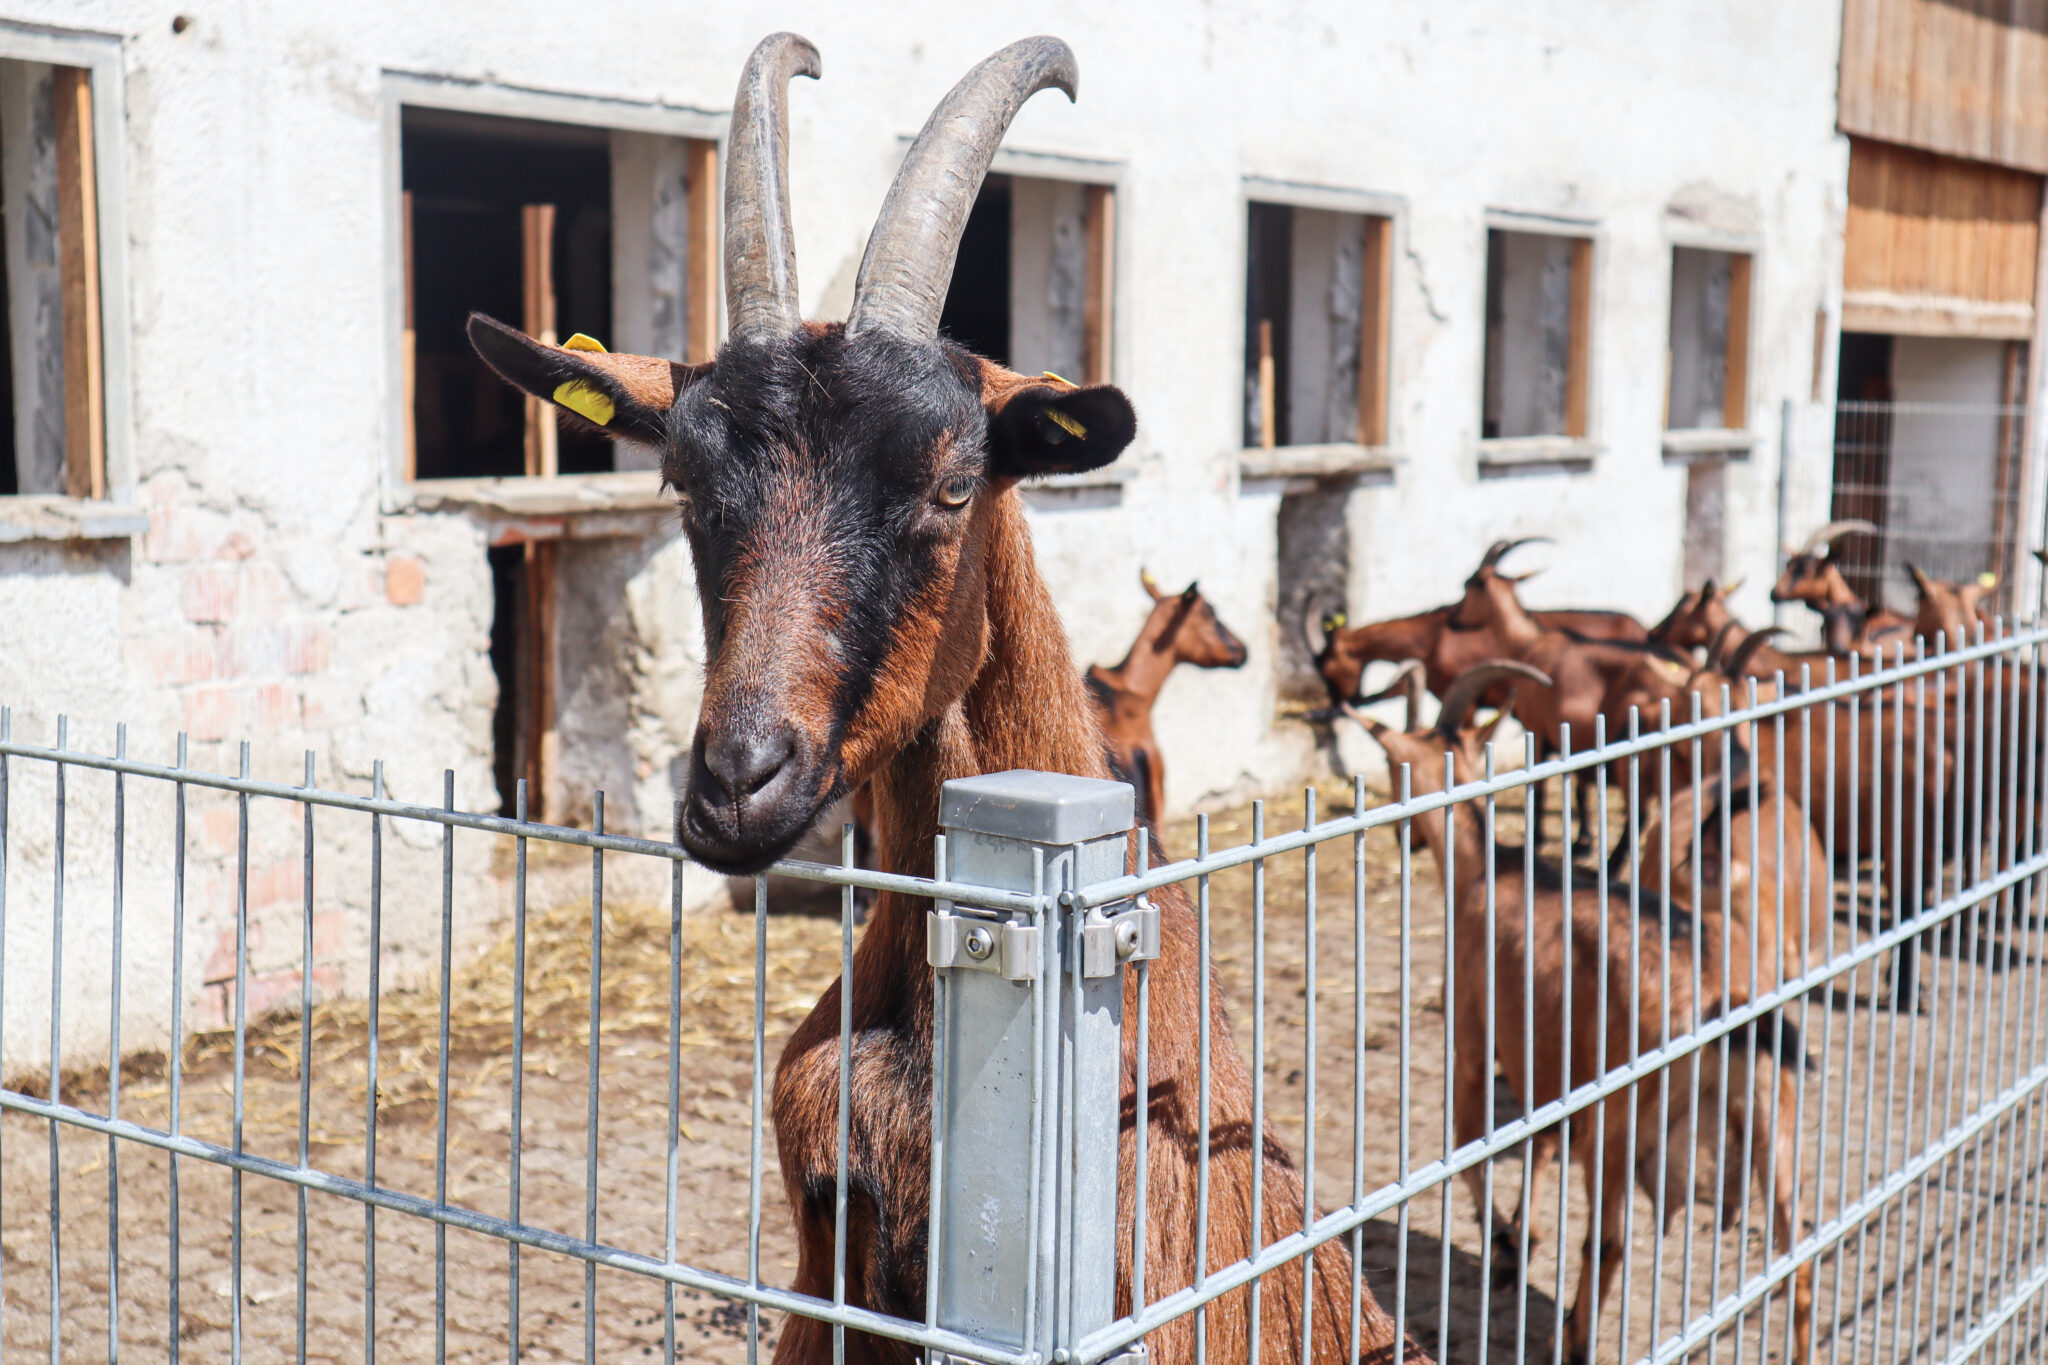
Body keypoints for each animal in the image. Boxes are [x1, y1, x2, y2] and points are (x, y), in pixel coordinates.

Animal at [1348, 662, 1813, 1365]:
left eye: (1388, 760)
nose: (1402, 832)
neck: (1489, 868)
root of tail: (1721, 999)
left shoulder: (1477, 1028)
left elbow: (1469, 1137)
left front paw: (1506, 1245)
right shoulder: (1548, 1058)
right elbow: (1538, 1140)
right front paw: (1523, 1234)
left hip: (1620, 1116)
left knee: (1609, 1240)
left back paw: (1569, 1337)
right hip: (1771, 1116)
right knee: (1799, 1254)